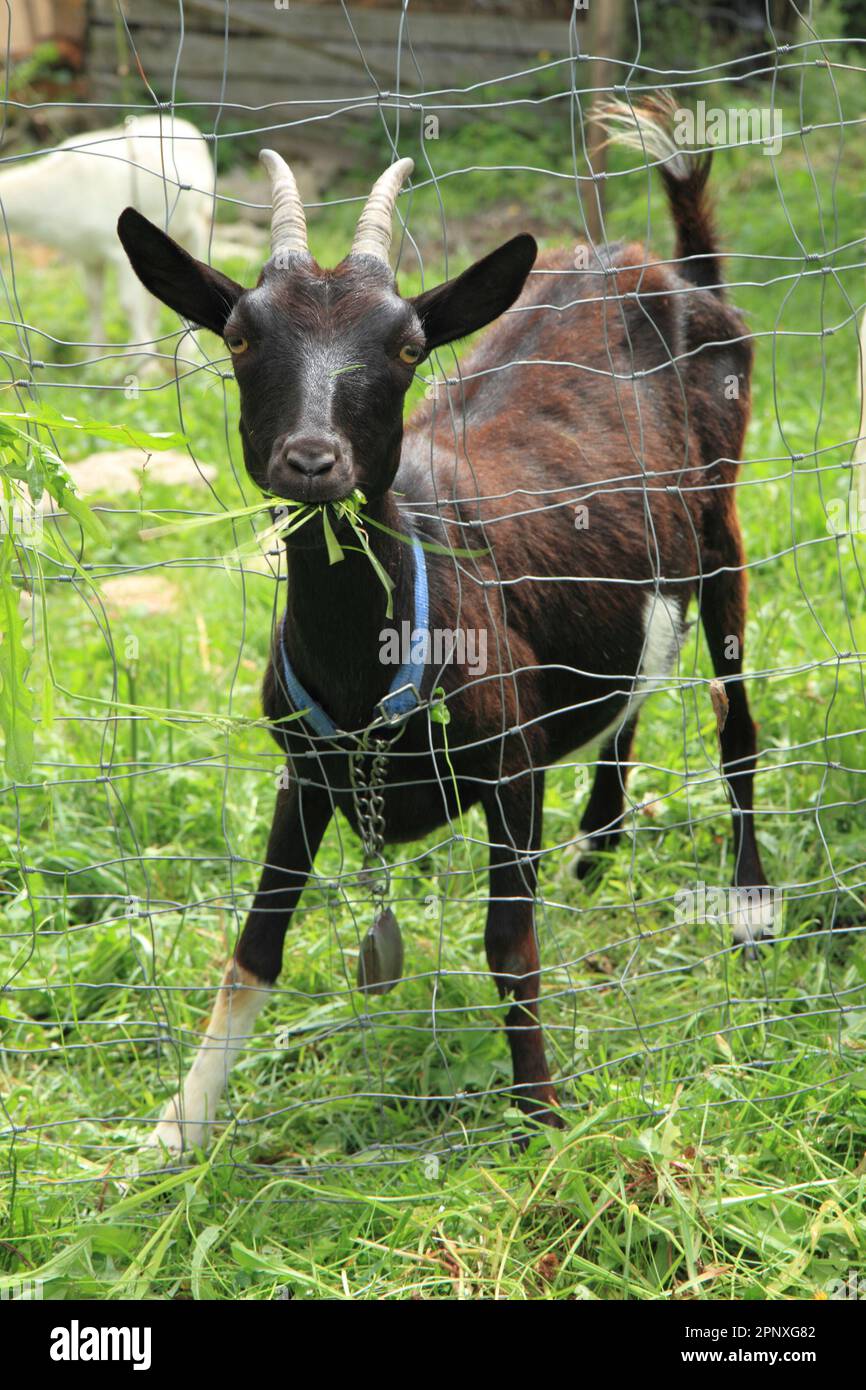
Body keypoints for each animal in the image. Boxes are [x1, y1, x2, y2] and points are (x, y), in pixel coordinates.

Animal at [1, 115, 213, 355]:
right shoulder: (88, 255)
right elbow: (93, 299)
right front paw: (96, 354)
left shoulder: (118, 249)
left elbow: (128, 304)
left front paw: (145, 360)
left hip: (200, 216)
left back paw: (186, 350)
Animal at [118, 94, 772, 1154]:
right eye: (242, 338)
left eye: (406, 346)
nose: (313, 459)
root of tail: (673, 269)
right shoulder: (307, 770)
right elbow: (254, 950)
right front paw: (174, 1135)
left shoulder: (509, 766)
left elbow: (509, 942)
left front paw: (542, 1119)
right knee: (637, 672)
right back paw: (597, 850)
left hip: (724, 525)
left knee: (736, 721)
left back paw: (750, 909)